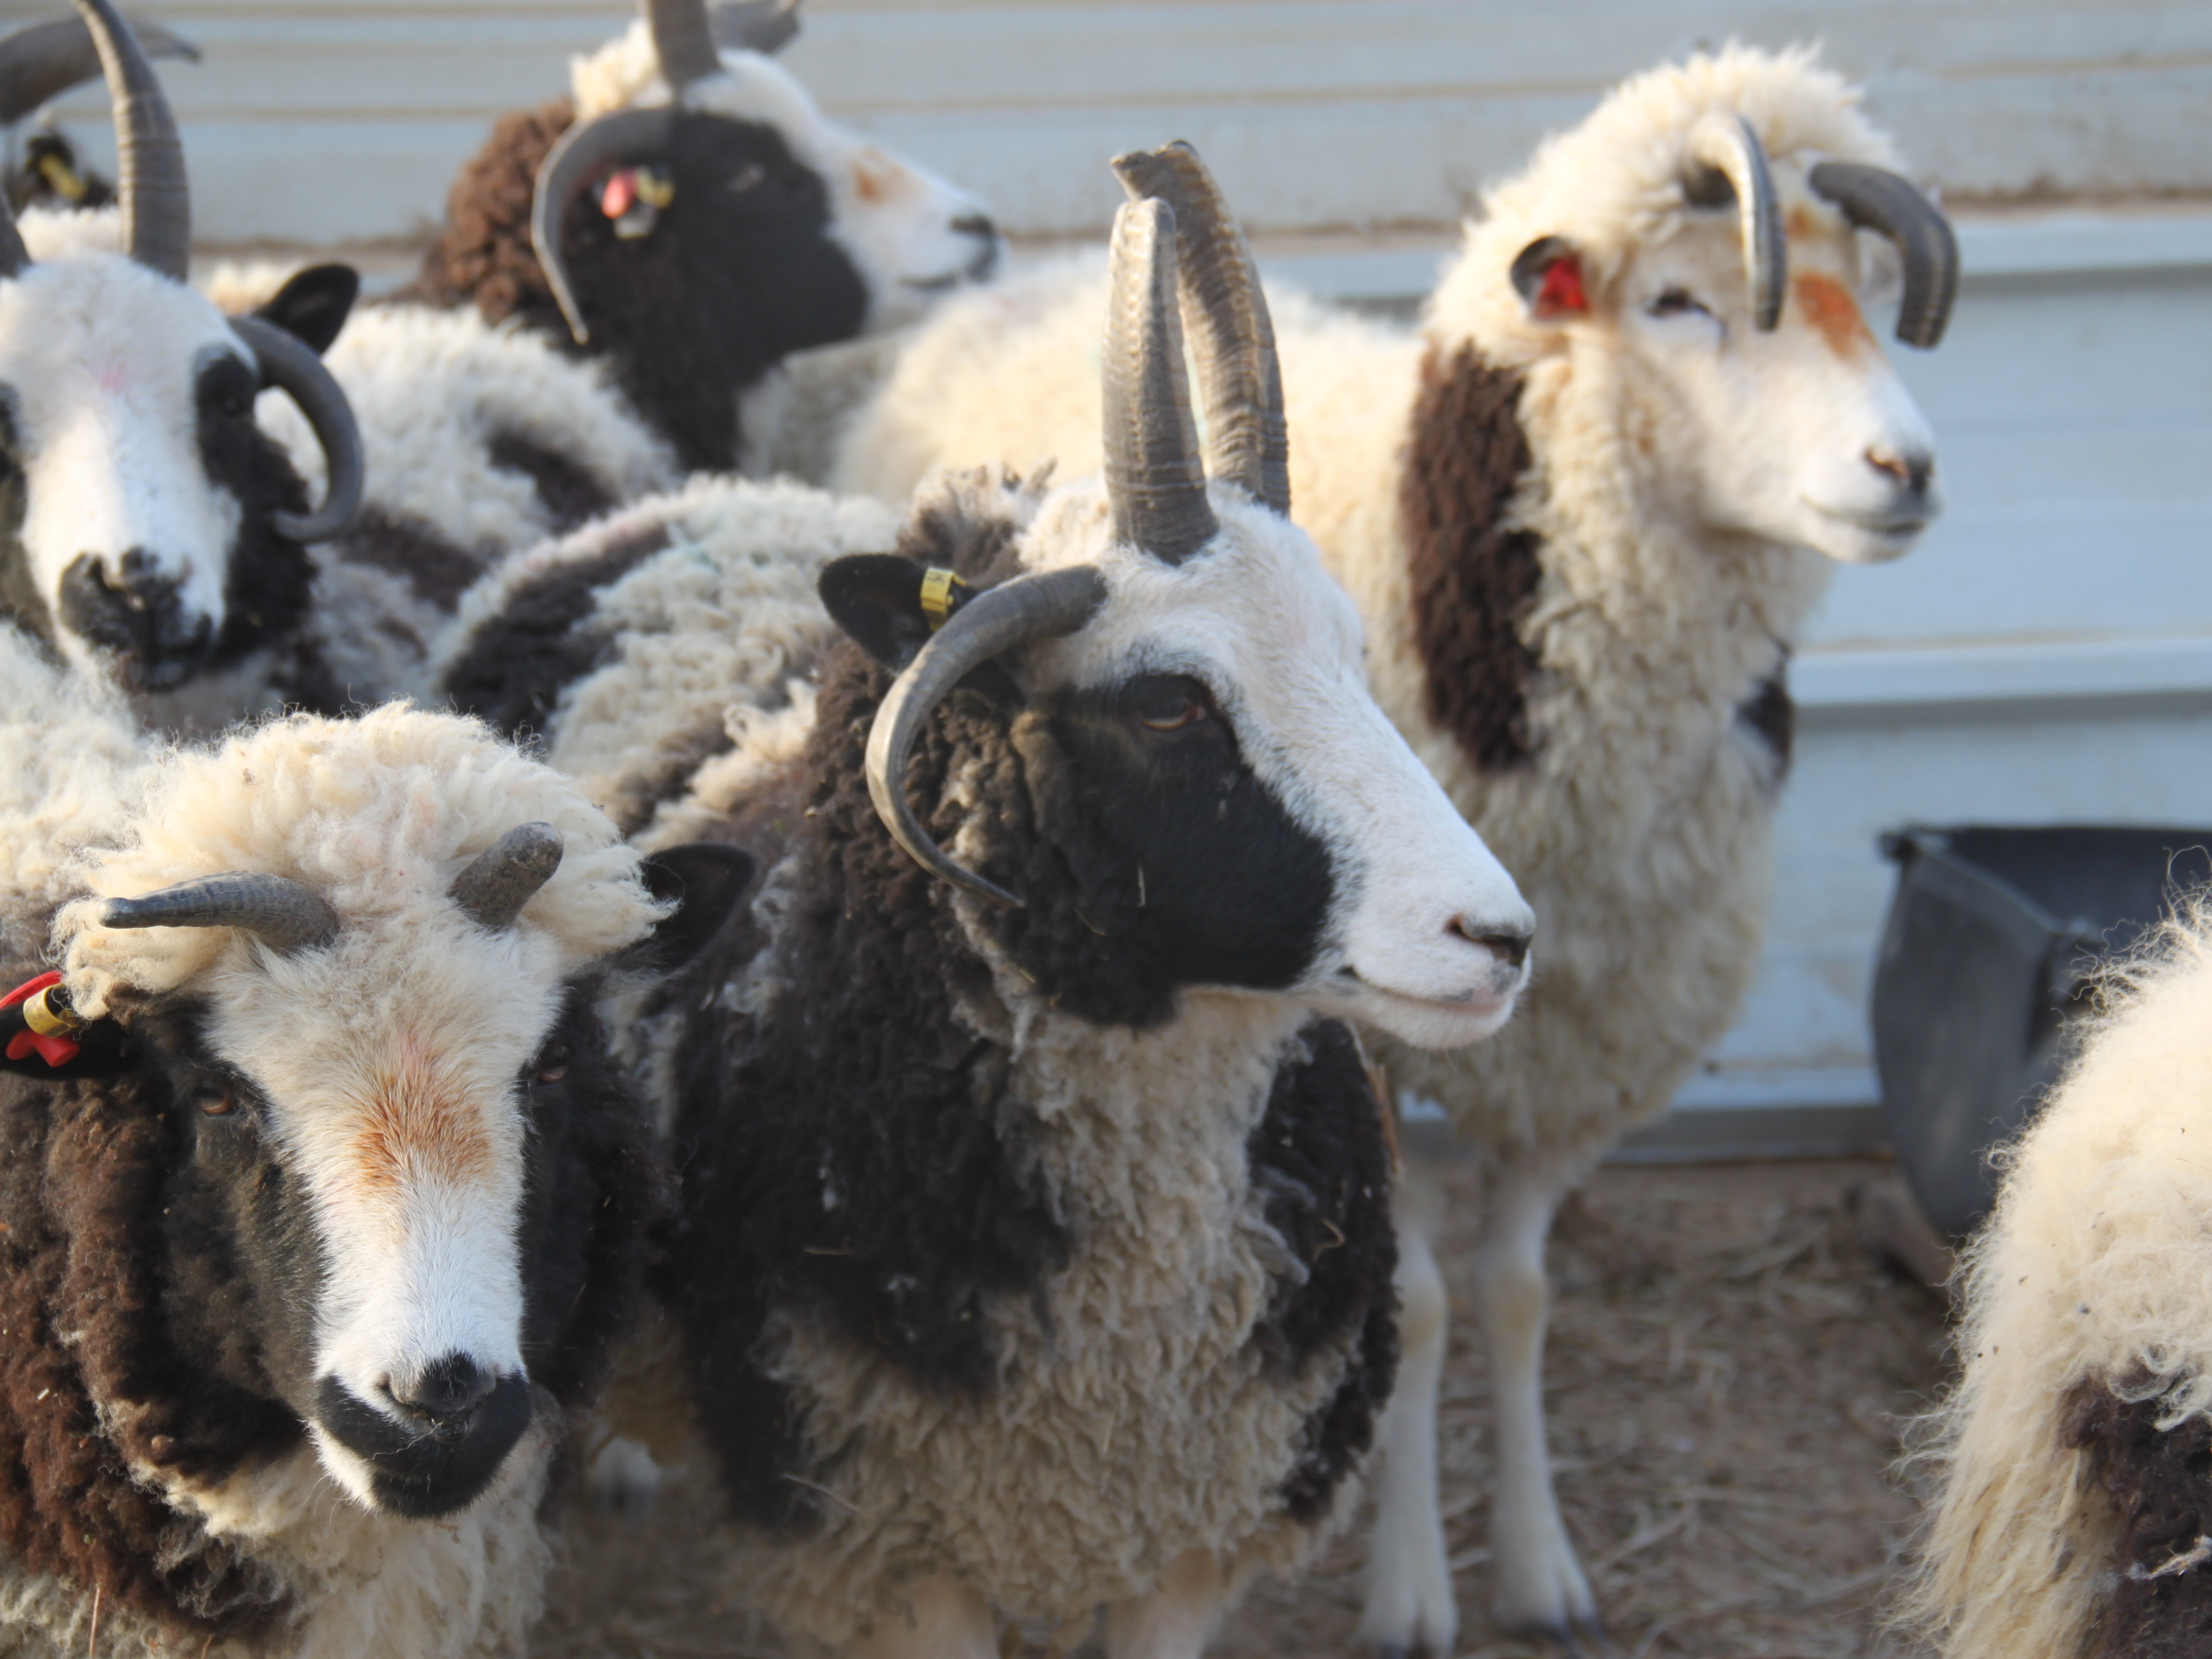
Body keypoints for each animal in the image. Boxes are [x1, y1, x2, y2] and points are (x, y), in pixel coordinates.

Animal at [453, 156, 1539, 1655]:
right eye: (1168, 700)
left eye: (1353, 652)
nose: (1497, 939)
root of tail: (678, 507)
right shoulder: (895, 1545)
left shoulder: (1185, 1536)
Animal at [829, 49, 1959, 1645]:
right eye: (1681, 303)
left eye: (1862, 283)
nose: (1901, 468)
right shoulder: (1379, 1059)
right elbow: (1417, 1305)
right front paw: (1412, 1584)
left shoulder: (1579, 1044)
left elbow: (1517, 1290)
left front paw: (1540, 1563)